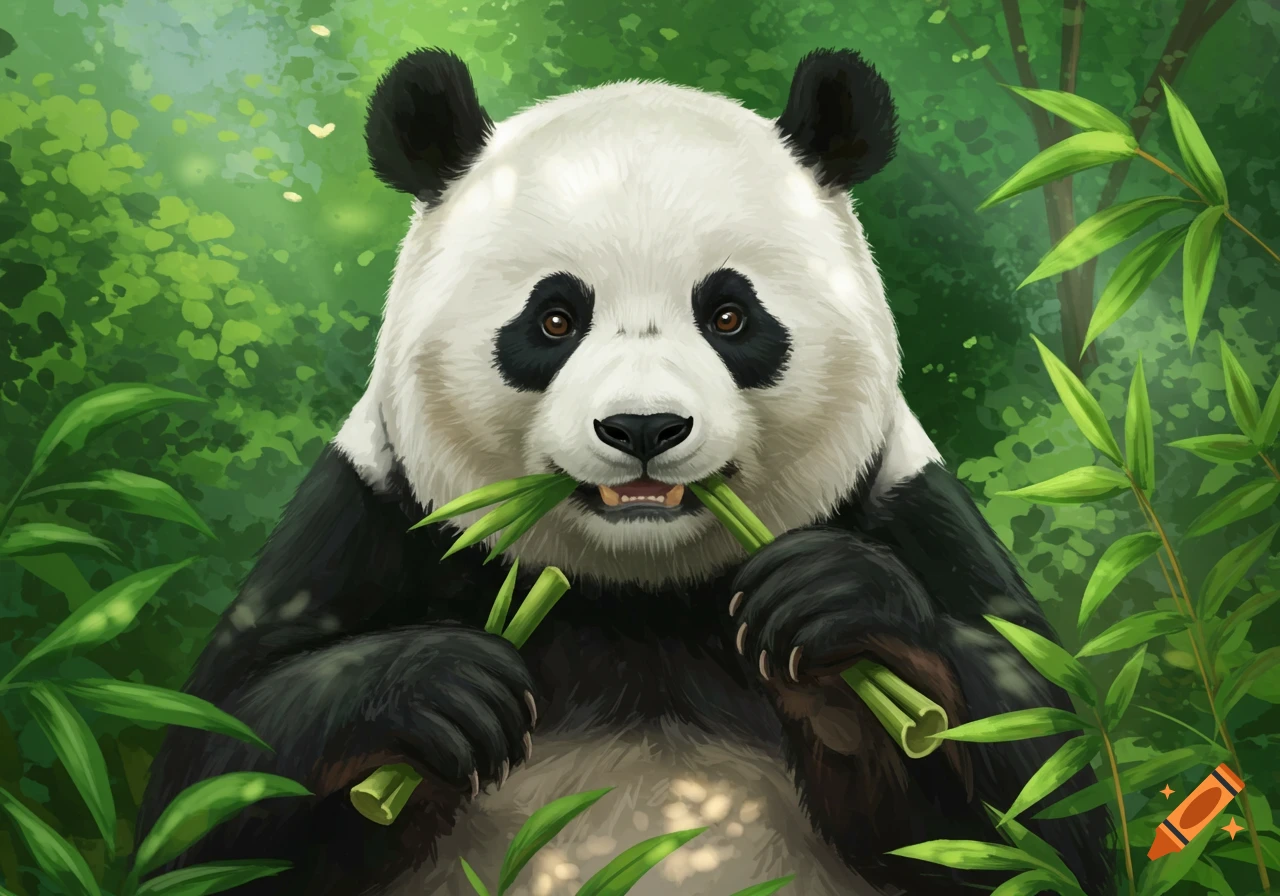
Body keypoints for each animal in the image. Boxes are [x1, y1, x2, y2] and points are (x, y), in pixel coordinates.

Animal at [136, 47, 1114, 896]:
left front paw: (838, 637)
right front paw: (438, 692)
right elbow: (212, 784)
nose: (644, 426)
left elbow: (1041, 795)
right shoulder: (372, 513)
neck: (640, 600)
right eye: (554, 318)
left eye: (730, 314)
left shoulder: (904, 504)